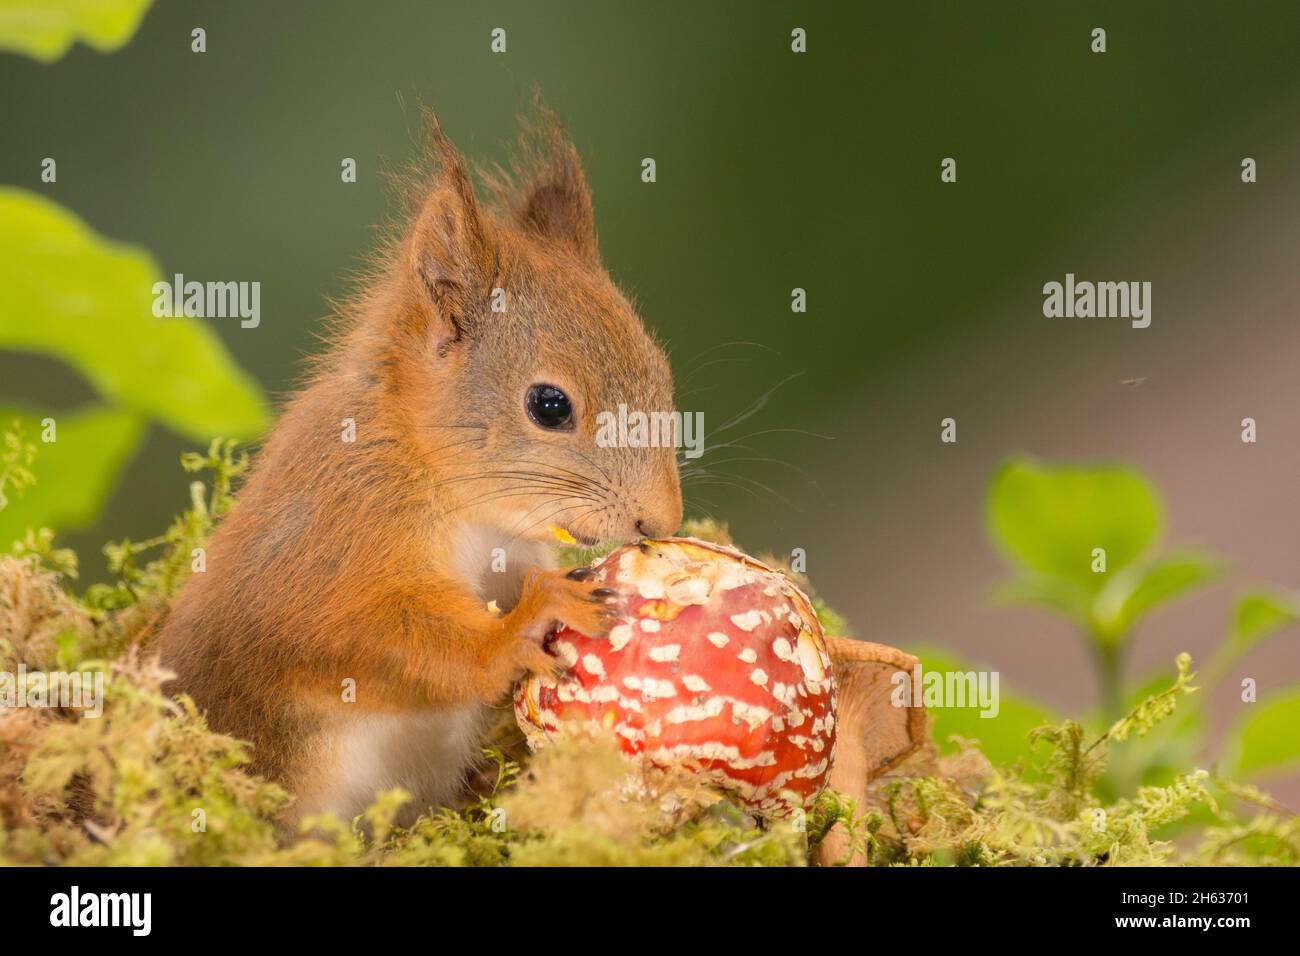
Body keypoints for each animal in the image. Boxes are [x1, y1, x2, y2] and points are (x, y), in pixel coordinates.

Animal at [157, 110, 683, 825]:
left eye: (663, 372)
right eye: (549, 405)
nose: (664, 520)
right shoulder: (339, 533)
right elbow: (367, 633)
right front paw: (522, 626)